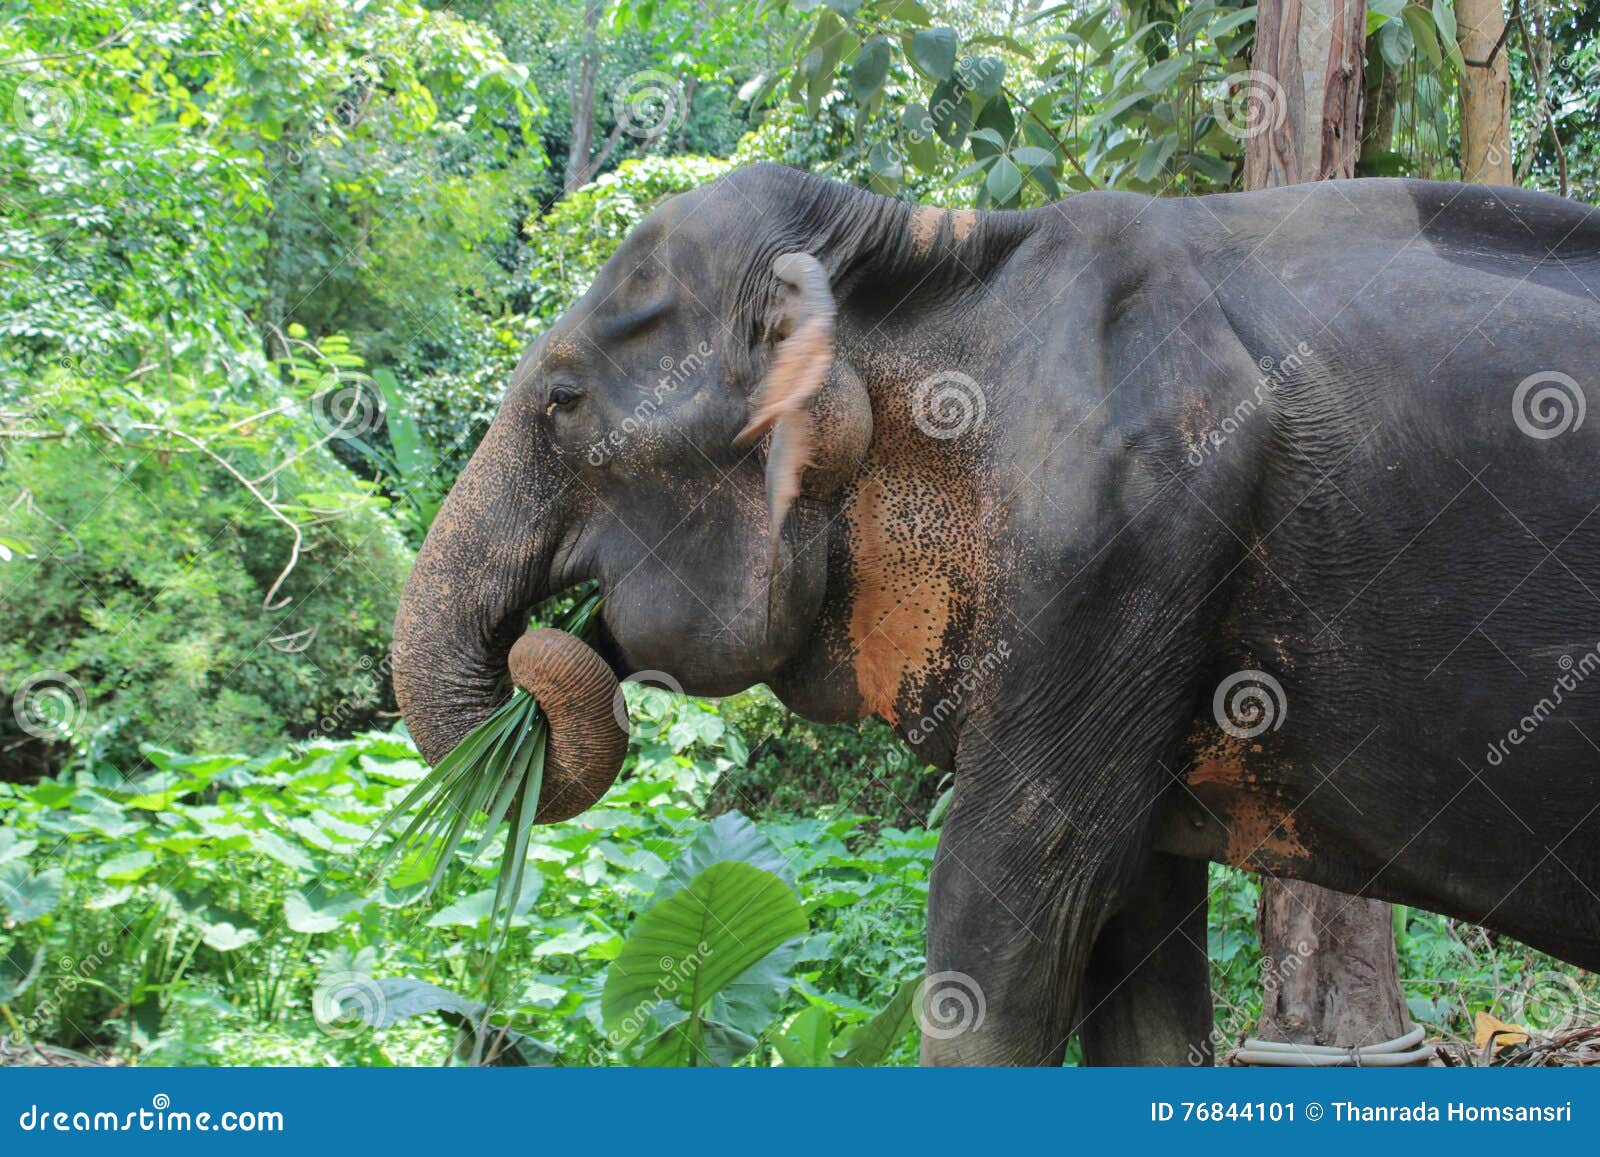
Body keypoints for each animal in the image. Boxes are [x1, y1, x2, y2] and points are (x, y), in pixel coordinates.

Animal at [392, 162, 1600, 1065]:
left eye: (562, 402)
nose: (544, 660)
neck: (934, 255)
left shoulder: (1118, 530)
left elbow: (1012, 900)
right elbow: (1137, 928)